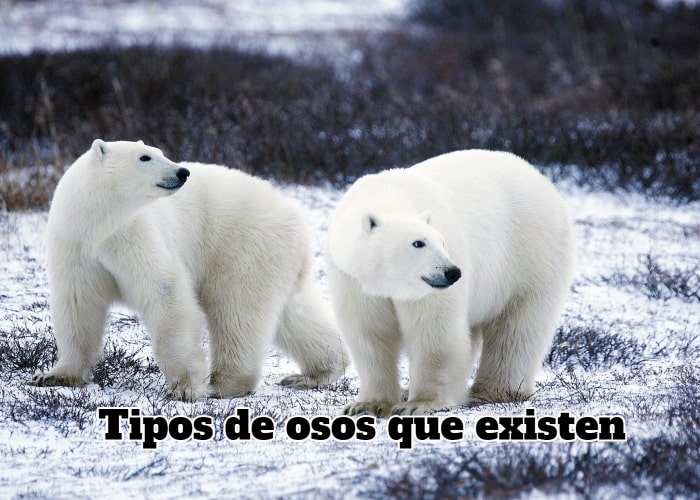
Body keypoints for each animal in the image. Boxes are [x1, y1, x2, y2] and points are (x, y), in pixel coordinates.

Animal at [30, 139, 346, 401]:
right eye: (145, 156)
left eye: (160, 151)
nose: (182, 172)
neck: (98, 223)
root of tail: (296, 215)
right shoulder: (74, 244)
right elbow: (78, 304)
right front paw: (54, 375)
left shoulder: (134, 235)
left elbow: (165, 292)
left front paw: (184, 387)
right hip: (276, 257)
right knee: (292, 314)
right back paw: (315, 373)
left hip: (244, 245)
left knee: (236, 310)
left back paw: (224, 384)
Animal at [326, 149, 574, 417]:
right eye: (418, 243)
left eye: (442, 241)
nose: (452, 272)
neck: (387, 194)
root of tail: (541, 178)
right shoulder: (354, 281)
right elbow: (370, 334)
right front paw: (366, 405)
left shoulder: (428, 290)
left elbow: (434, 332)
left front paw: (418, 404)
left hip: (530, 254)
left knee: (517, 327)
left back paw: (493, 391)